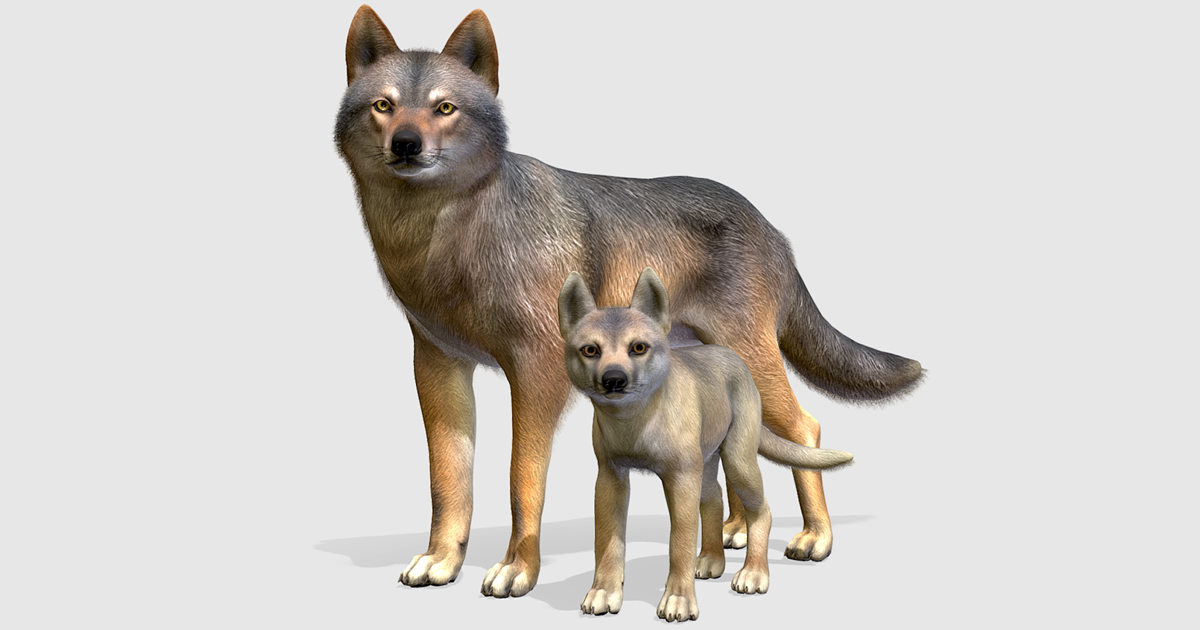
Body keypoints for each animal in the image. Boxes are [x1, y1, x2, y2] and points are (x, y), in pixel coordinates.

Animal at [560, 268, 854, 621]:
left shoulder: (680, 478)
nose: (614, 380)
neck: (635, 424)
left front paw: (678, 600)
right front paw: (604, 592)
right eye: (590, 350)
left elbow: (680, 544)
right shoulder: (610, 477)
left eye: (639, 347)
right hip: (705, 464)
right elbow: (607, 543)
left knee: (762, 510)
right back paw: (712, 560)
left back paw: (754, 573)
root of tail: (729, 354)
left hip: (736, 461)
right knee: (714, 500)